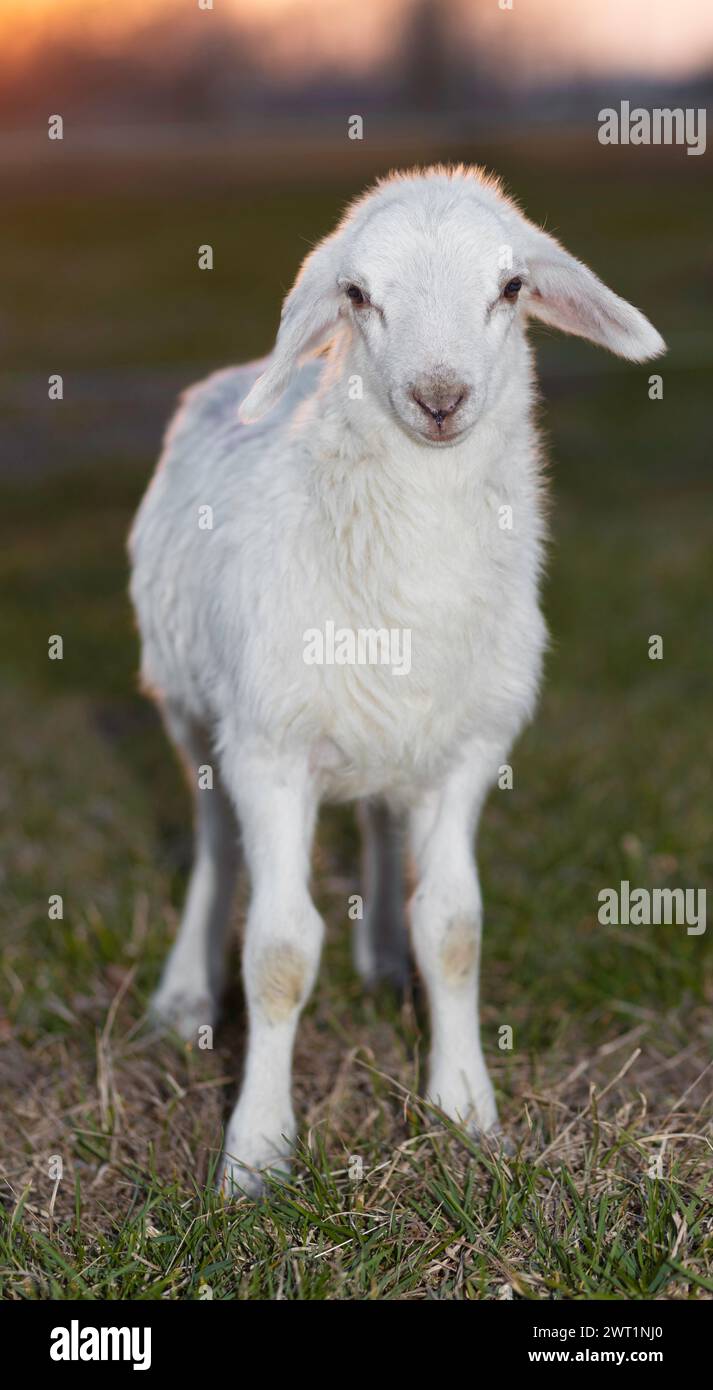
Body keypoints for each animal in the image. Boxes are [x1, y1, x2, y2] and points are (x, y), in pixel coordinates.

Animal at [128, 164, 664, 1195]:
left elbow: (452, 930)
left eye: (509, 287)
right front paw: (254, 1157)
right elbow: (279, 950)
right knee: (214, 848)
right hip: (185, 706)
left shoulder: (468, 750)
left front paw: (464, 1113)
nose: (439, 397)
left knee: (378, 818)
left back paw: (378, 959)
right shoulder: (269, 749)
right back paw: (182, 996)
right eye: (356, 294)